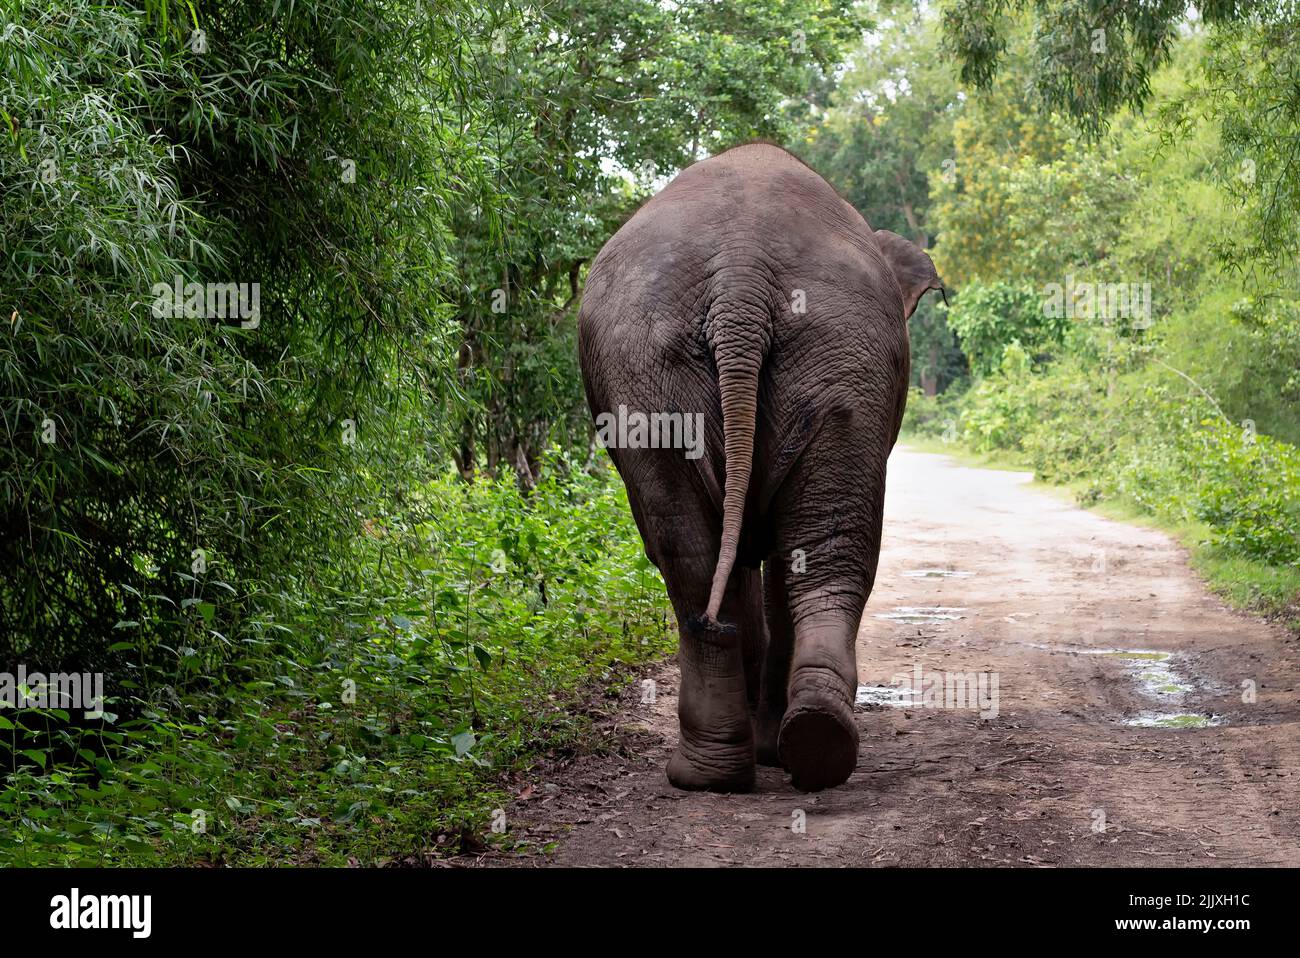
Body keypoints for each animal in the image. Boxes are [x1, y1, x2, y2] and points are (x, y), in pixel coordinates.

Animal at [578, 142, 942, 793]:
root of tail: (740, 275)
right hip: (809, 356)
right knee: (794, 551)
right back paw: (798, 745)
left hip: (724, 359)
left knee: (709, 556)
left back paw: (731, 764)